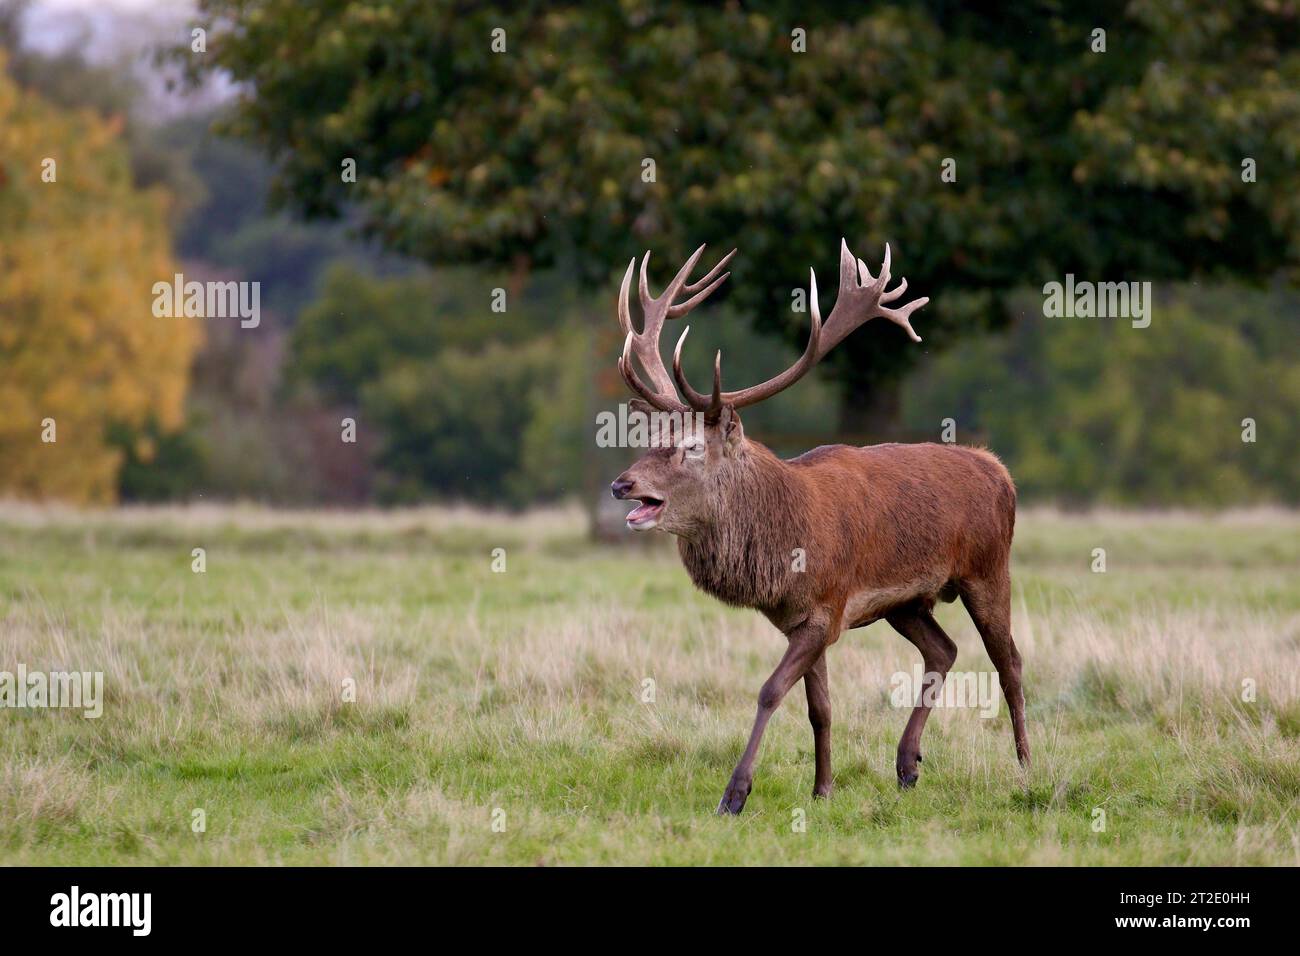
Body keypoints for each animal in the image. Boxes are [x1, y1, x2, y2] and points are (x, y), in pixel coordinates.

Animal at [609, 240, 1028, 814]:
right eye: (651, 439)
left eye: (691, 446)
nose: (622, 483)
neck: (786, 546)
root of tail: (999, 469)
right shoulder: (800, 618)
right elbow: (820, 708)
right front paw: (823, 789)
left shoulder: (825, 609)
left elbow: (769, 690)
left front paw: (734, 795)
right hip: (906, 602)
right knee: (944, 649)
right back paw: (907, 764)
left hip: (988, 568)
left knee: (1009, 661)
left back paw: (1026, 766)